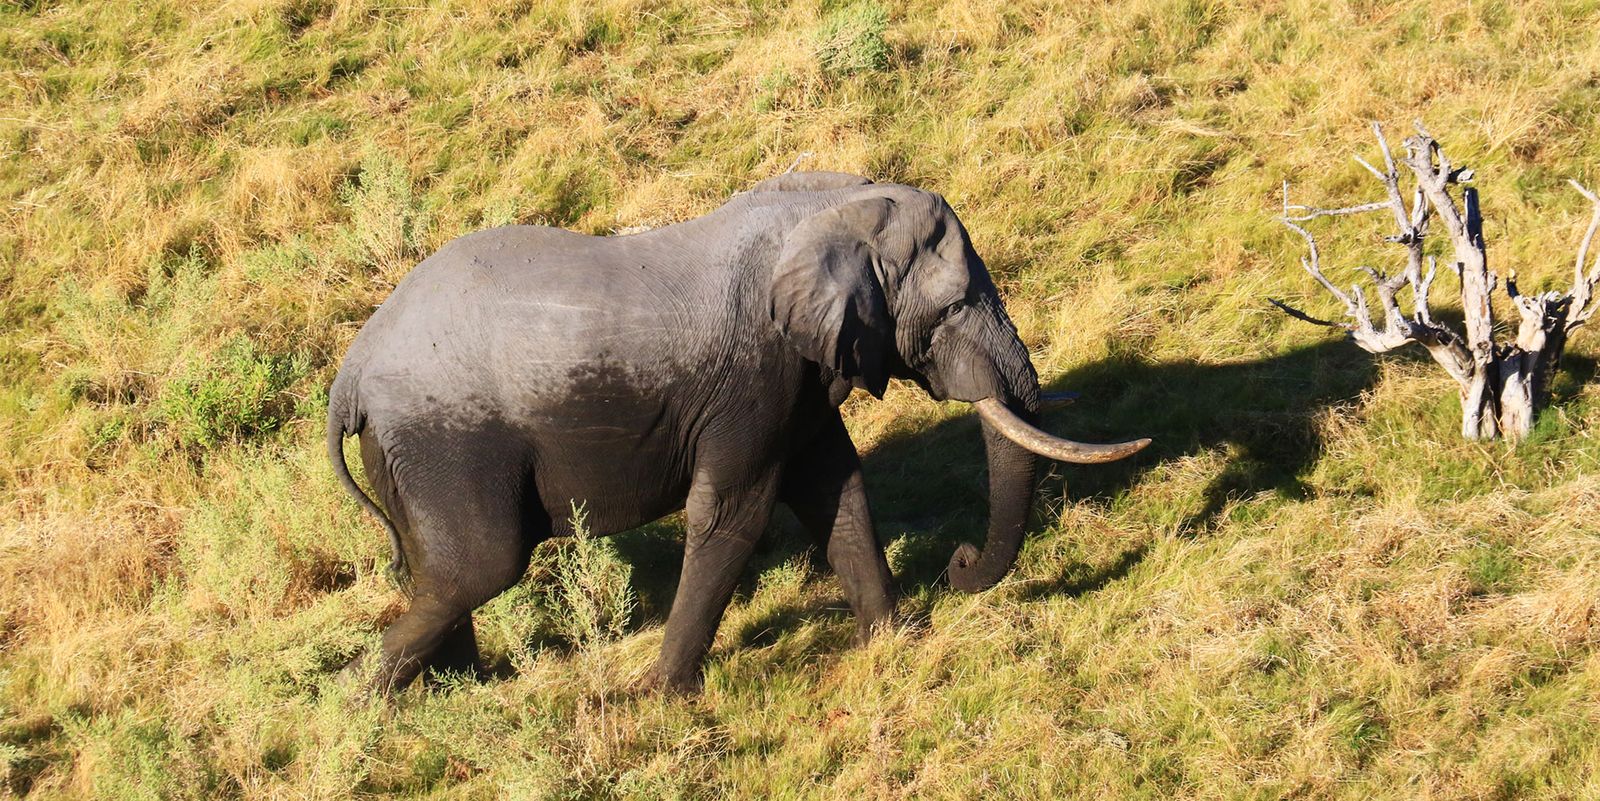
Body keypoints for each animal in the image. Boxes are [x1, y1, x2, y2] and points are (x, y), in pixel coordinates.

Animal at [327, 171, 1149, 694]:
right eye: (951, 310)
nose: (960, 564)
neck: (828, 209)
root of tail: (351, 374)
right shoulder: (754, 377)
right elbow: (734, 514)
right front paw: (663, 696)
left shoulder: (803, 379)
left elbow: (837, 490)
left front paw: (893, 641)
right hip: (447, 440)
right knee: (480, 566)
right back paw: (372, 706)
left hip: (409, 451)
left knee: (436, 568)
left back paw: (460, 689)